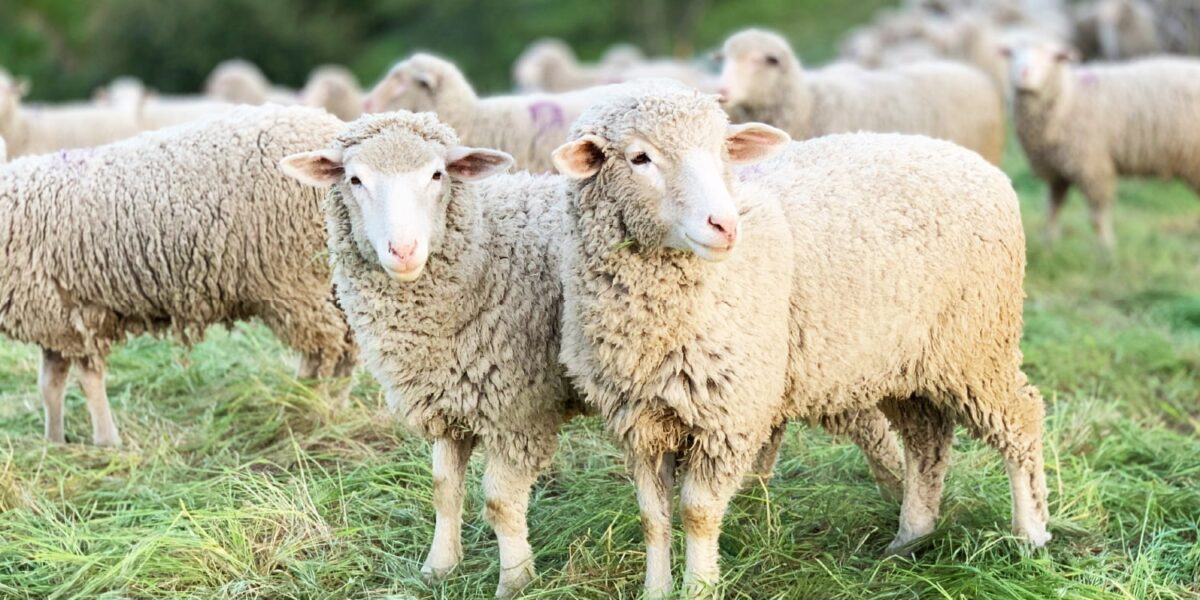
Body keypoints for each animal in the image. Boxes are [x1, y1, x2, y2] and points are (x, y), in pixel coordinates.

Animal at [0, 105, 356, 447]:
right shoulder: (53, 318)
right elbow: (50, 385)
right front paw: (54, 443)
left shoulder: (77, 315)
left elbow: (88, 380)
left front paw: (105, 441)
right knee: (347, 344)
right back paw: (329, 405)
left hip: (295, 282)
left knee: (324, 349)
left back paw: (306, 405)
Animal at [279, 111, 579, 599]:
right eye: (355, 179)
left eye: (437, 174)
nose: (403, 251)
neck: (488, 255)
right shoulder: (448, 399)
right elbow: (443, 488)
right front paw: (439, 567)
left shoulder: (518, 412)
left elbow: (499, 503)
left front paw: (515, 580)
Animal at [553, 81, 1048, 597]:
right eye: (640, 158)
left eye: (723, 151)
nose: (725, 225)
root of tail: (978, 164)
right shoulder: (640, 421)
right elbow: (653, 517)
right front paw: (657, 589)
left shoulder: (729, 415)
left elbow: (697, 513)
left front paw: (700, 588)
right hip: (907, 361)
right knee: (926, 441)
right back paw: (911, 537)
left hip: (977, 345)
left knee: (1021, 420)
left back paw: (1030, 536)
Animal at [1004, 40, 1200, 248]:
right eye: (1012, 54)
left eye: (1052, 57)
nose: (1024, 73)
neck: (1069, 98)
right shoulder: (1058, 171)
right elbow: (1053, 208)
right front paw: (1050, 242)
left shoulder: (1092, 165)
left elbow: (1097, 214)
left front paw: (1106, 246)